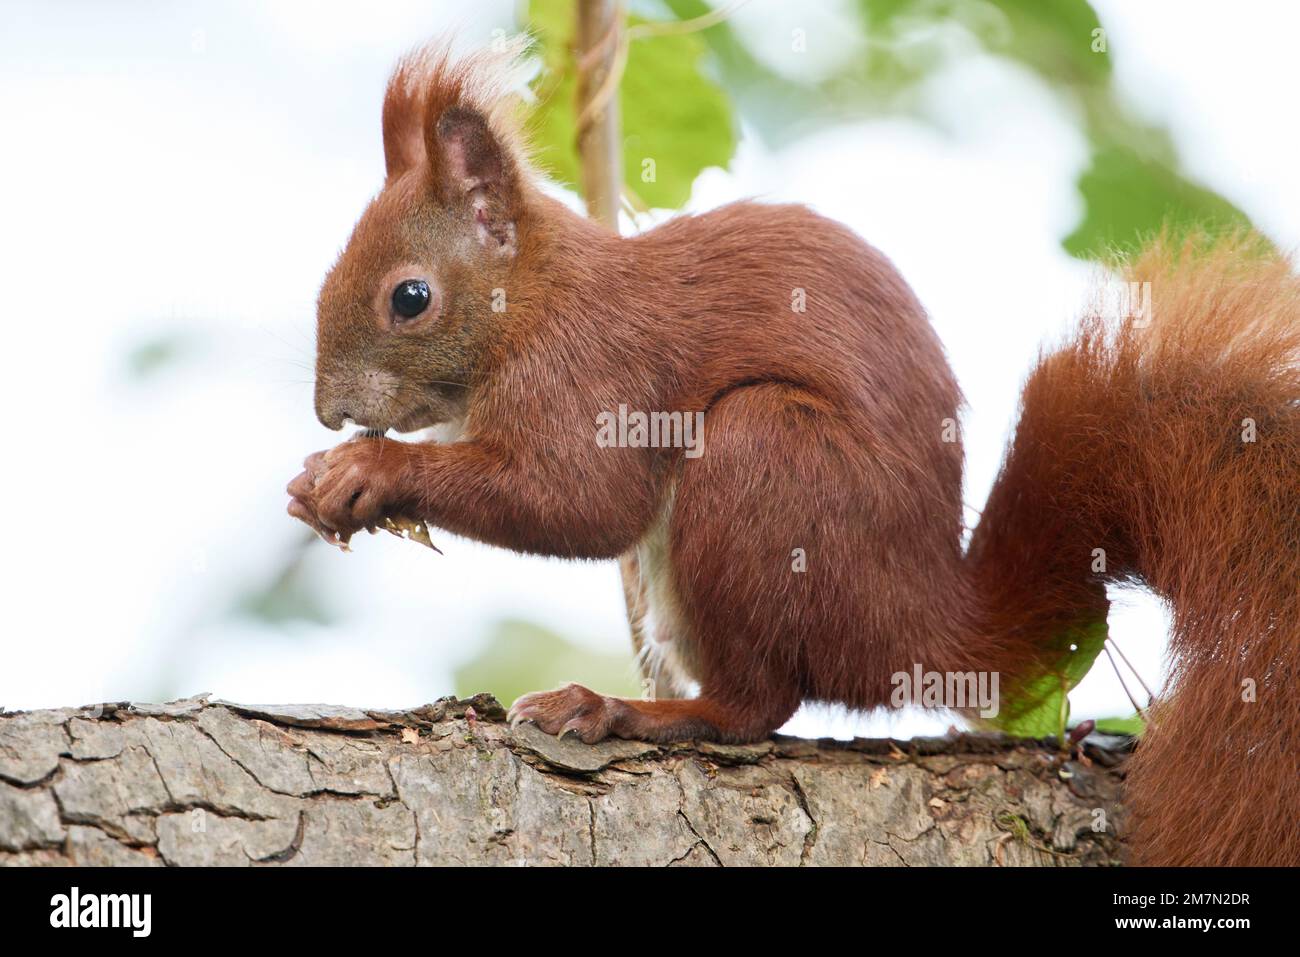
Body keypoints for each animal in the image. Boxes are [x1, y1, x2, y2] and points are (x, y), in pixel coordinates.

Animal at [286, 43, 1299, 866]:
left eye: (409, 297)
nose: (331, 410)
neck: (533, 300)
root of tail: (916, 624)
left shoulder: (596, 375)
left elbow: (585, 503)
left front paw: (371, 475)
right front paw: (315, 484)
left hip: (764, 457)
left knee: (756, 704)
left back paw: (629, 709)